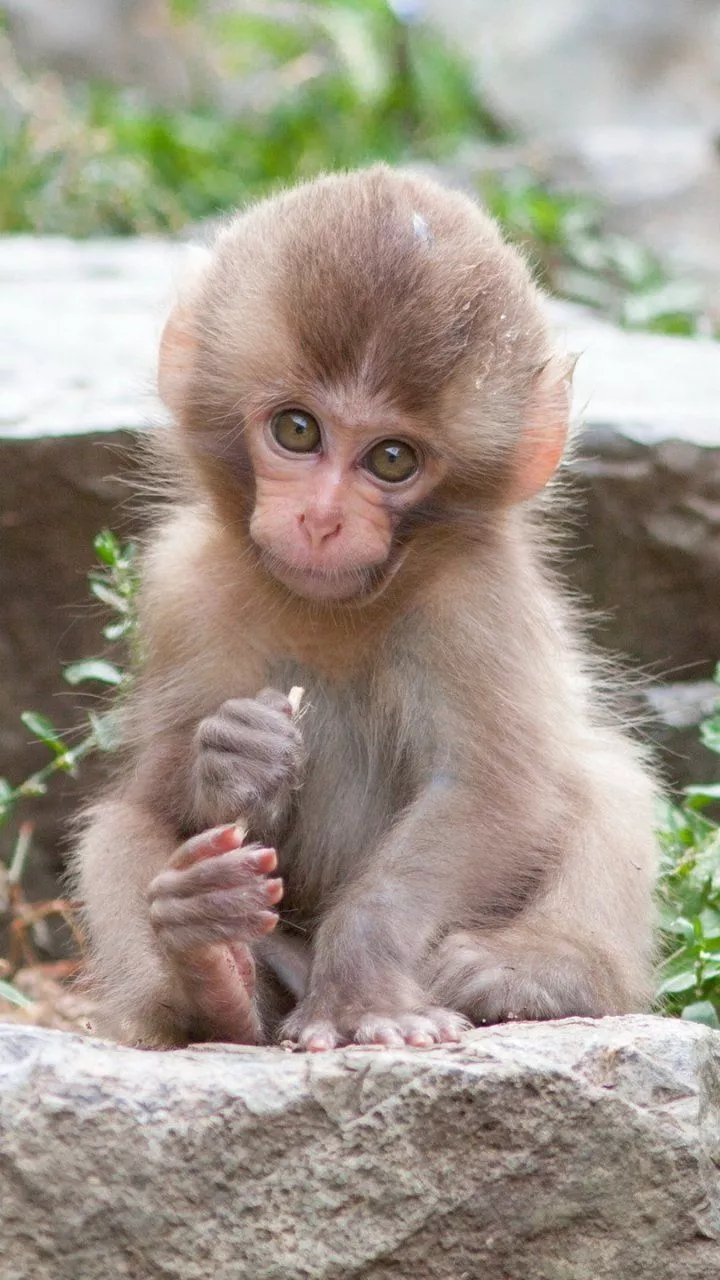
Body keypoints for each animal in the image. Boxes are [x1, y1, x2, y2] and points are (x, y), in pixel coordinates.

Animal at [70, 164, 658, 1052]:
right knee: (119, 826)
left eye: (390, 460)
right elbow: (158, 796)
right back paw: (211, 974)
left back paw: (539, 969)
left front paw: (364, 990)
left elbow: (490, 789)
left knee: (604, 777)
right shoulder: (183, 585)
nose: (322, 520)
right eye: (296, 430)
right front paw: (232, 759)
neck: (338, 609)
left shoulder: (476, 602)